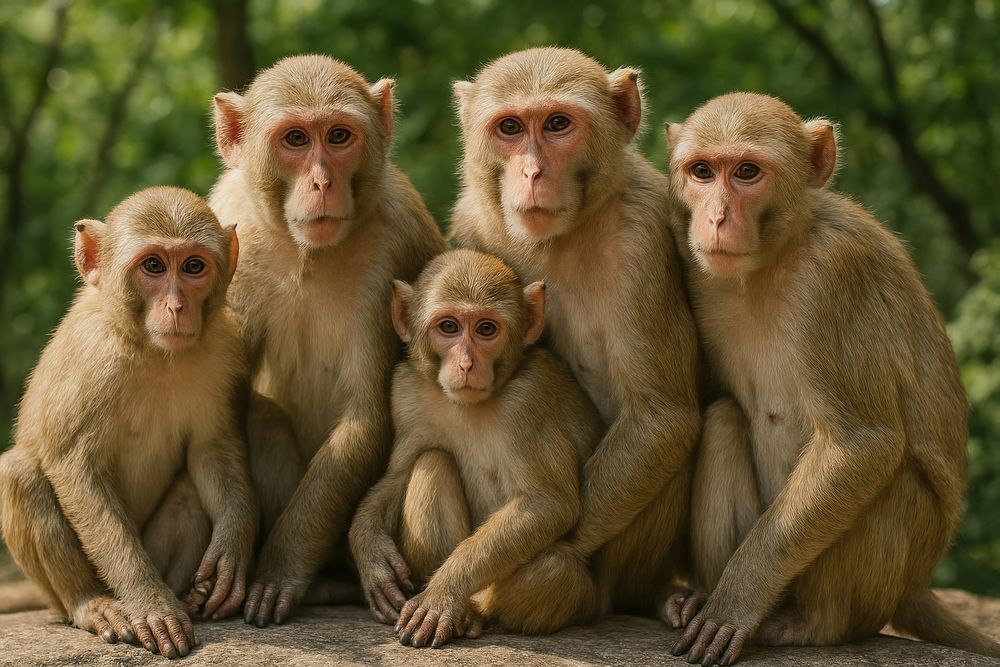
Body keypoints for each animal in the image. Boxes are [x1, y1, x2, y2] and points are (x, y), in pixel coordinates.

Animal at [0, 186, 257, 659]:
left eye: (193, 266)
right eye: (153, 265)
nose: (176, 306)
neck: (152, 348)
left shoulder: (225, 349)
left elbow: (213, 448)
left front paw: (233, 552)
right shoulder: (92, 356)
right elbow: (74, 467)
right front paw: (149, 602)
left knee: (190, 489)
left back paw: (184, 597)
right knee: (21, 473)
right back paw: (91, 603)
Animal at [208, 54, 446, 627]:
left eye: (338, 136)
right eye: (295, 139)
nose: (321, 182)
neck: (306, 253)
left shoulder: (392, 254)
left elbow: (366, 418)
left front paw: (277, 571)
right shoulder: (232, 235)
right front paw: (236, 545)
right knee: (261, 415)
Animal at [348, 249, 602, 648]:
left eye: (486, 329)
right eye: (449, 327)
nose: (467, 364)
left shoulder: (528, 399)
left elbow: (548, 502)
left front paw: (444, 594)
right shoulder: (405, 391)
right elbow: (397, 475)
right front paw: (370, 552)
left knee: (556, 569)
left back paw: (473, 611)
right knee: (433, 461)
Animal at [438, 47, 702, 630]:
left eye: (558, 124)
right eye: (510, 128)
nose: (533, 172)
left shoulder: (641, 235)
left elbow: (661, 416)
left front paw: (501, 585)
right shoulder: (471, 223)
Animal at [662, 92, 1000, 665]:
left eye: (747, 171)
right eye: (702, 171)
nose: (717, 217)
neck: (771, 260)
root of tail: (915, 587)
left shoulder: (837, 273)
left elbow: (863, 443)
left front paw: (735, 603)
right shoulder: (693, 262)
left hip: (887, 574)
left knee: (894, 480)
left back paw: (810, 624)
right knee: (724, 419)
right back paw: (704, 594)